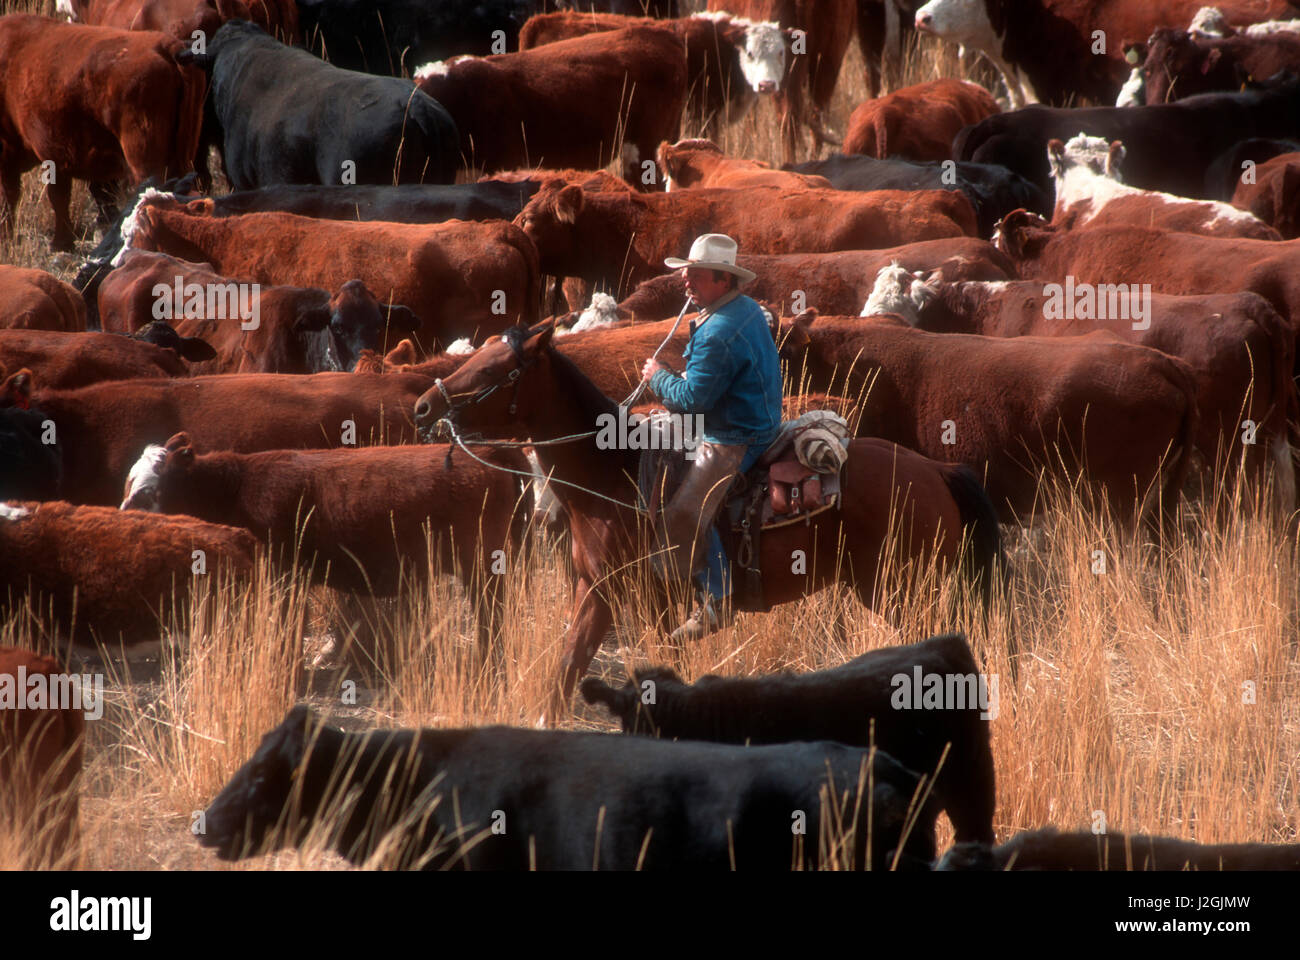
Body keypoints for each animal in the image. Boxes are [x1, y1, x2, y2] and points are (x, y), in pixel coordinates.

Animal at [0, 15, 206, 250]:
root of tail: (167, 46)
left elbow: (11, 197)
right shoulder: (56, 156)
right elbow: (60, 196)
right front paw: (63, 242)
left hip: (142, 159)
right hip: (183, 155)